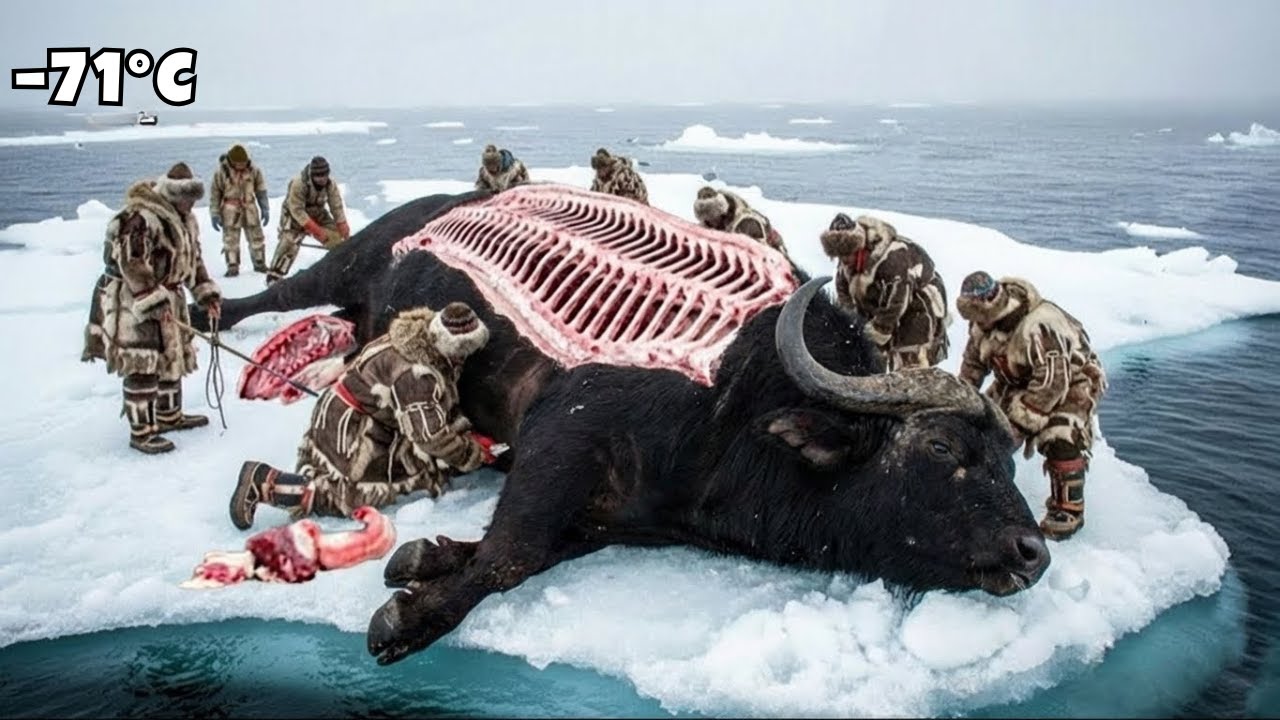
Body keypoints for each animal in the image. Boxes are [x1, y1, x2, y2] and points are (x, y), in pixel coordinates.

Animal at [195, 185, 1049, 666]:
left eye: (1008, 462)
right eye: (940, 445)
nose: (1033, 553)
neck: (742, 398)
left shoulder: (618, 515)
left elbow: (529, 551)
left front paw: (425, 556)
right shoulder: (563, 436)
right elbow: (511, 554)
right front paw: (406, 616)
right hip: (346, 260)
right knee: (271, 294)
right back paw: (209, 313)